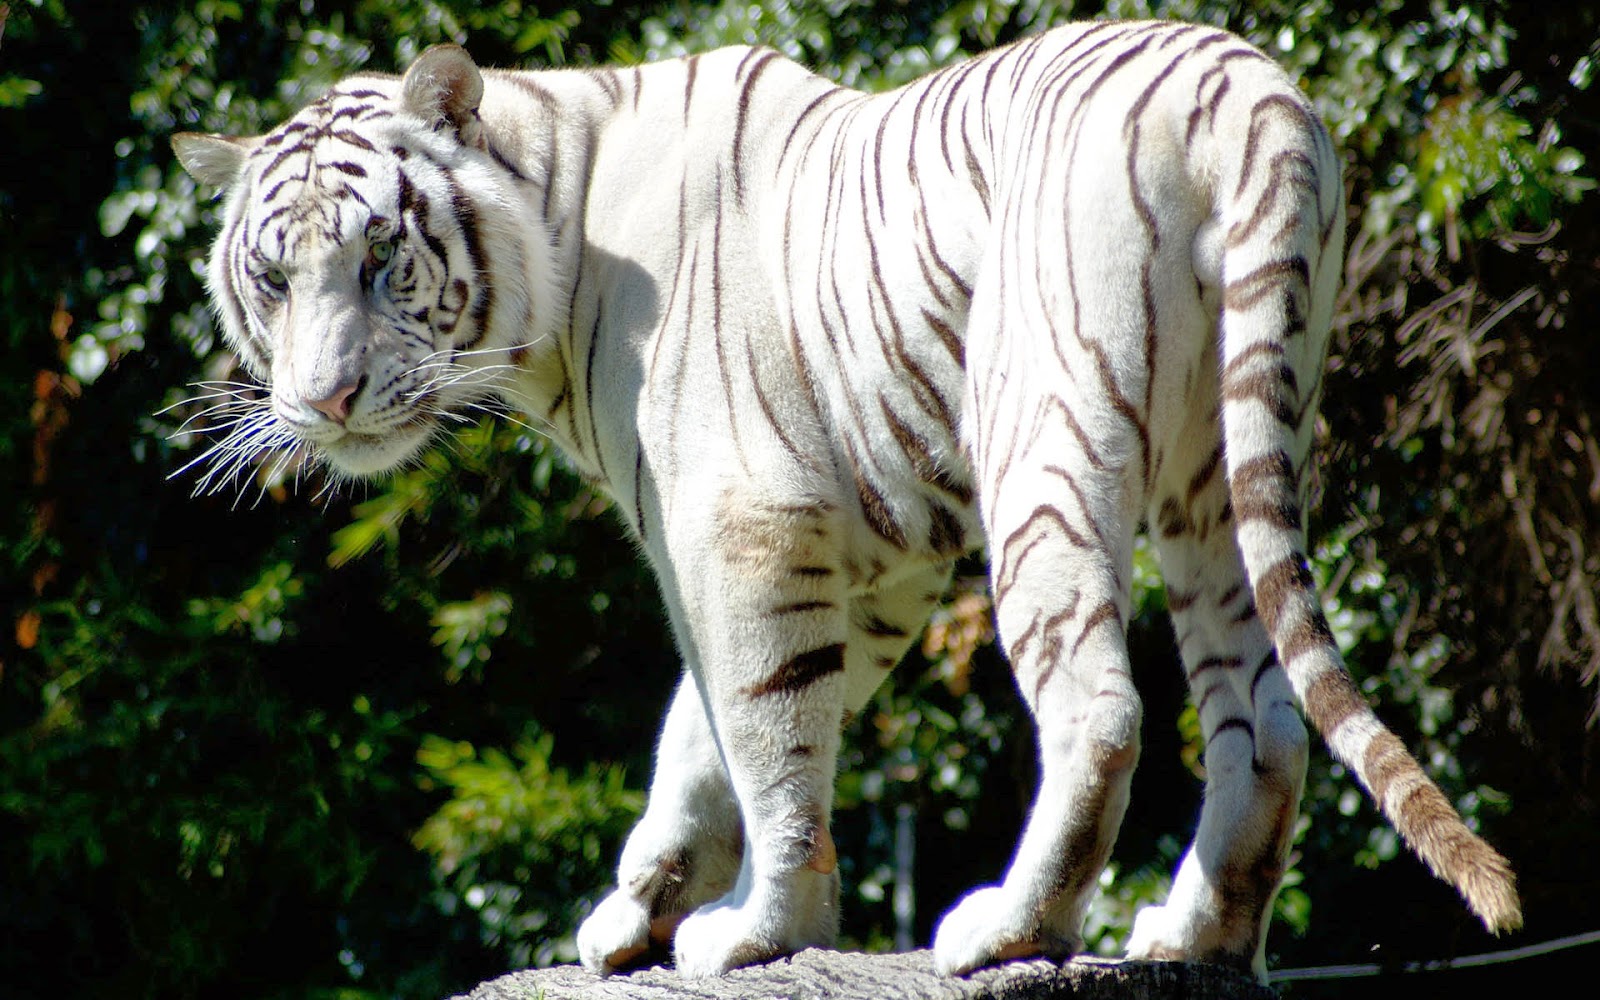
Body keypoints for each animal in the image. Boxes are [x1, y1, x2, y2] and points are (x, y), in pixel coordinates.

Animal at [172, 18, 1521, 980]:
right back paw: (1194, 935)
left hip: (1045, 429)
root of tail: (1250, 93)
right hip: (1218, 460)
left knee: (1100, 706)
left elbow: (766, 732)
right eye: (274, 279)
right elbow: (699, 730)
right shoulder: (877, 558)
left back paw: (1007, 929)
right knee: (1265, 713)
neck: (559, 230)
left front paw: (759, 928)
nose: (327, 398)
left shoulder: (745, 524)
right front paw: (637, 904)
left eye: (379, 259)